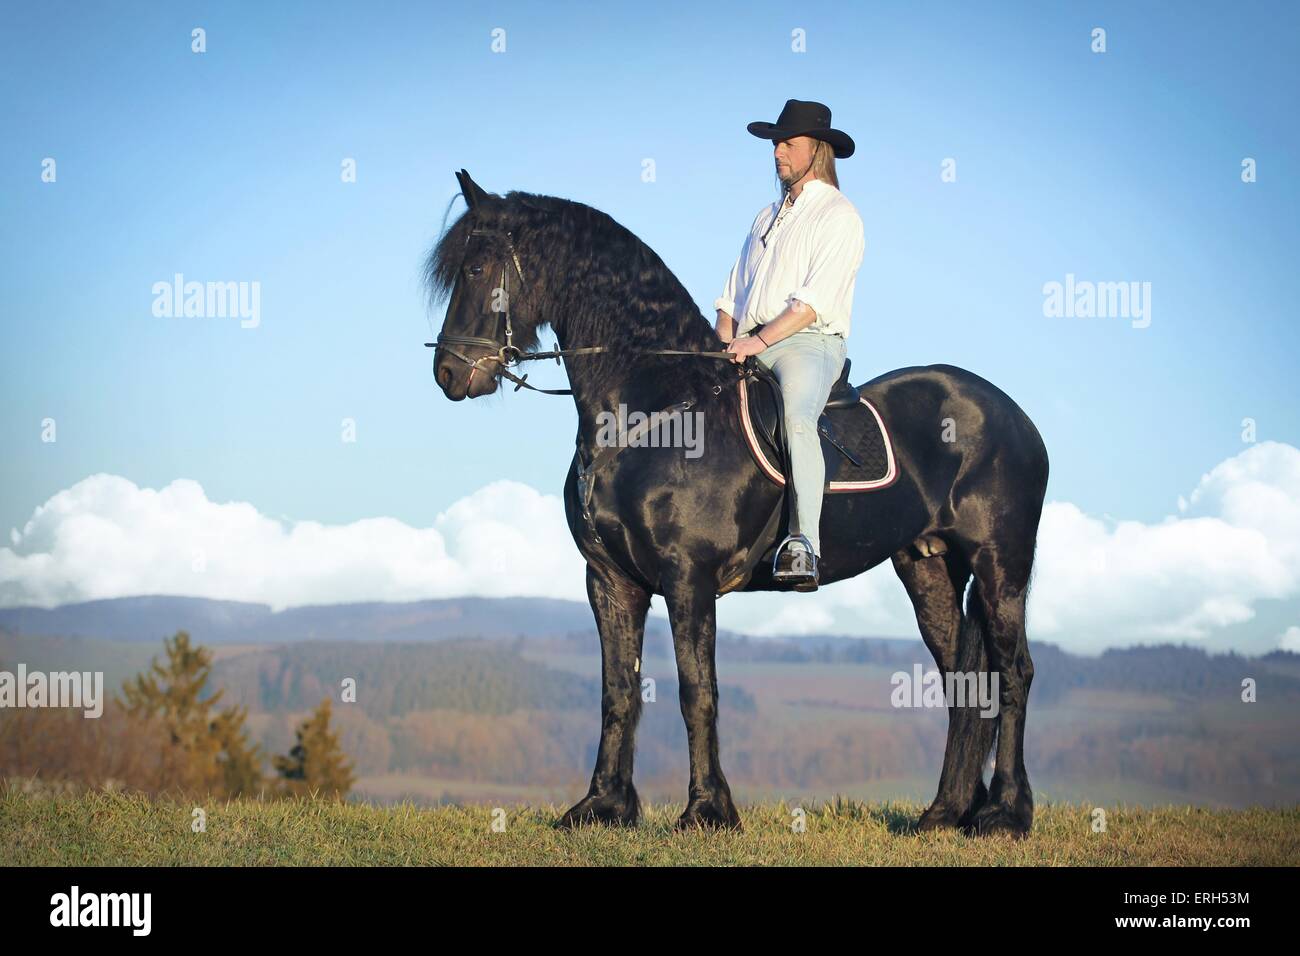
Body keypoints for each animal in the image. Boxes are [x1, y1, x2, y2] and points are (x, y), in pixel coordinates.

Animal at [426, 169, 1049, 838]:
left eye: (478, 268)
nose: (448, 374)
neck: (654, 412)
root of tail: (1011, 414)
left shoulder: (688, 577)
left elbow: (696, 689)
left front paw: (706, 811)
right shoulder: (610, 580)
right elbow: (618, 690)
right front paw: (602, 807)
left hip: (1000, 563)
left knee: (1014, 671)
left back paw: (1005, 813)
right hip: (928, 565)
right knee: (965, 677)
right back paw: (945, 813)